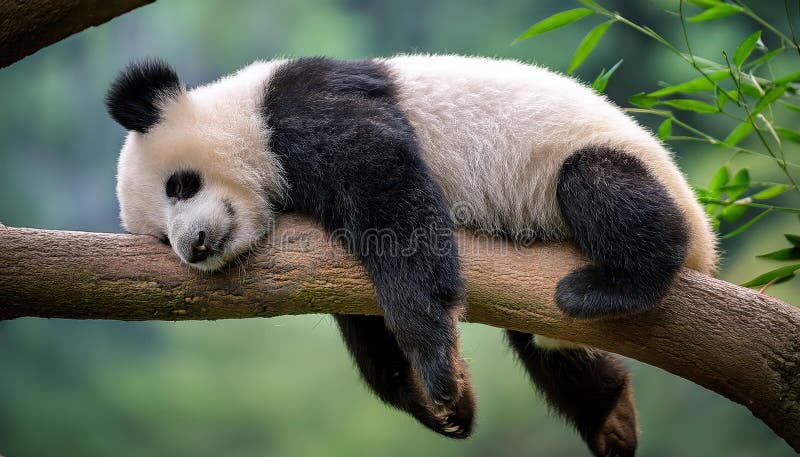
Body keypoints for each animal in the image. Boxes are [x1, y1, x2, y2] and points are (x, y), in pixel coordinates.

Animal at [107, 54, 718, 457]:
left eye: (179, 185)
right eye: (159, 239)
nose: (193, 246)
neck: (244, 114)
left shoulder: (307, 112)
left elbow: (390, 196)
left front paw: (437, 368)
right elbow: (362, 314)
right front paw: (442, 405)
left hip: (604, 170)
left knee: (599, 185)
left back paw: (614, 286)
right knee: (551, 349)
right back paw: (610, 418)